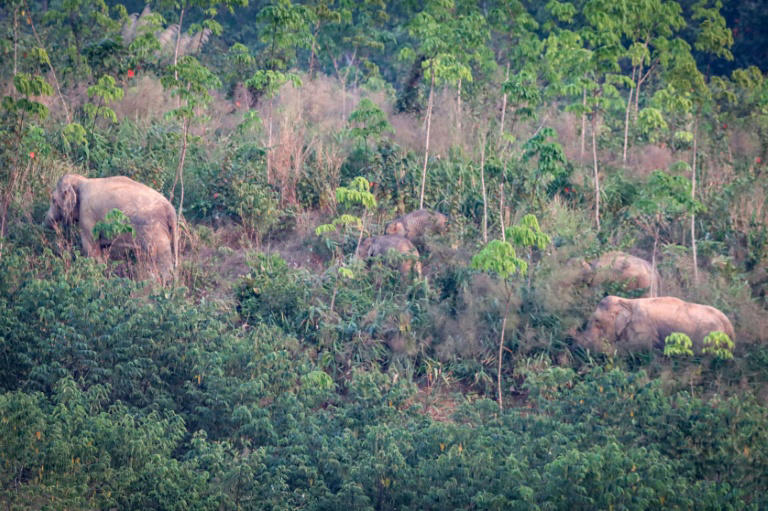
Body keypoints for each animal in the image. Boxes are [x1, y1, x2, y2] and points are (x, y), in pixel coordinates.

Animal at [44, 173, 178, 282]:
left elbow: (91, 248)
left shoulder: (87, 216)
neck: (82, 180)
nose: (47, 222)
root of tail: (170, 210)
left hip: (154, 229)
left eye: (53, 199)